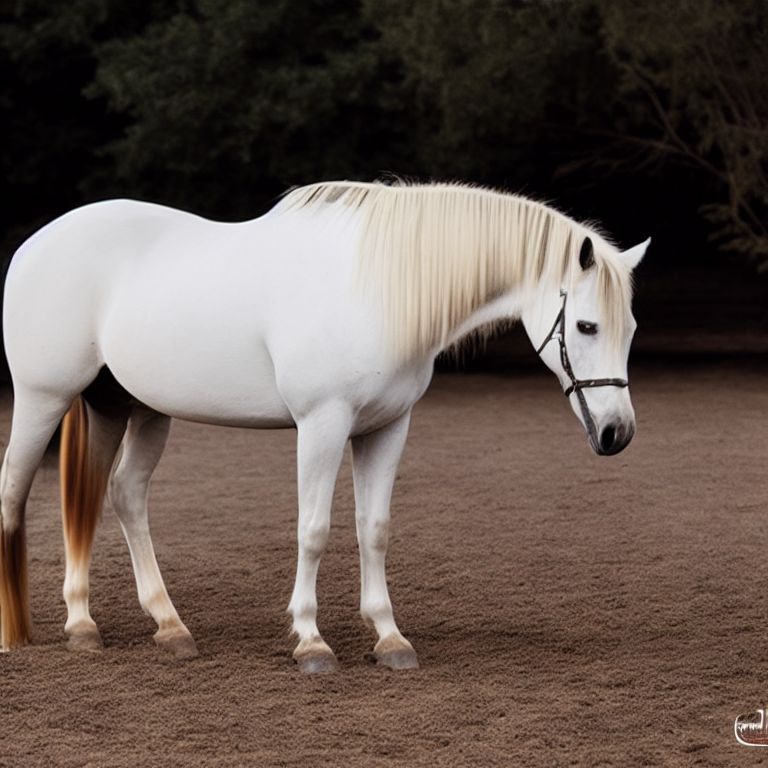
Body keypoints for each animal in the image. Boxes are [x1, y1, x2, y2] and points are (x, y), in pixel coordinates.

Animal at [0, 181, 648, 672]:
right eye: (586, 326)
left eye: (631, 327)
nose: (617, 434)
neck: (377, 287)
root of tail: (34, 244)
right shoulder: (322, 425)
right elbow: (313, 530)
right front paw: (311, 642)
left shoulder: (387, 429)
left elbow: (374, 529)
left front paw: (389, 637)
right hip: (44, 398)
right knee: (15, 491)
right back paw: (24, 632)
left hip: (127, 407)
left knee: (112, 496)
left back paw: (126, 625)